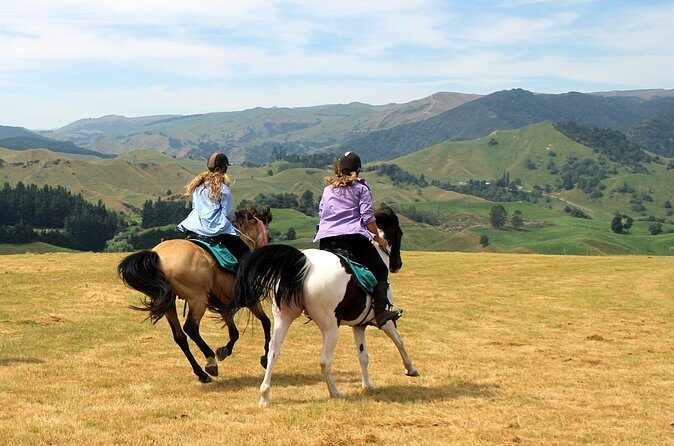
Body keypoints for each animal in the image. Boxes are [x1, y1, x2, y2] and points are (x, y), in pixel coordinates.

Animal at [117, 206, 272, 384]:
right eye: (268, 235)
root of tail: (158, 256)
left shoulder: (224, 303)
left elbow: (234, 332)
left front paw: (224, 350)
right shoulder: (250, 299)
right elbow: (266, 322)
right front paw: (265, 357)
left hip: (169, 302)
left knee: (180, 336)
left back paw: (201, 373)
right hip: (198, 300)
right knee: (191, 329)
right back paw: (210, 361)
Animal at [230, 205, 419, 407]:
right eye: (399, 232)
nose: (398, 264)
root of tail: (303, 263)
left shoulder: (359, 326)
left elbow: (363, 356)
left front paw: (367, 385)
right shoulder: (385, 321)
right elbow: (399, 341)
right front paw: (410, 369)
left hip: (283, 317)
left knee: (273, 352)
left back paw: (265, 396)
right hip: (330, 327)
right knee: (324, 361)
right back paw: (335, 392)